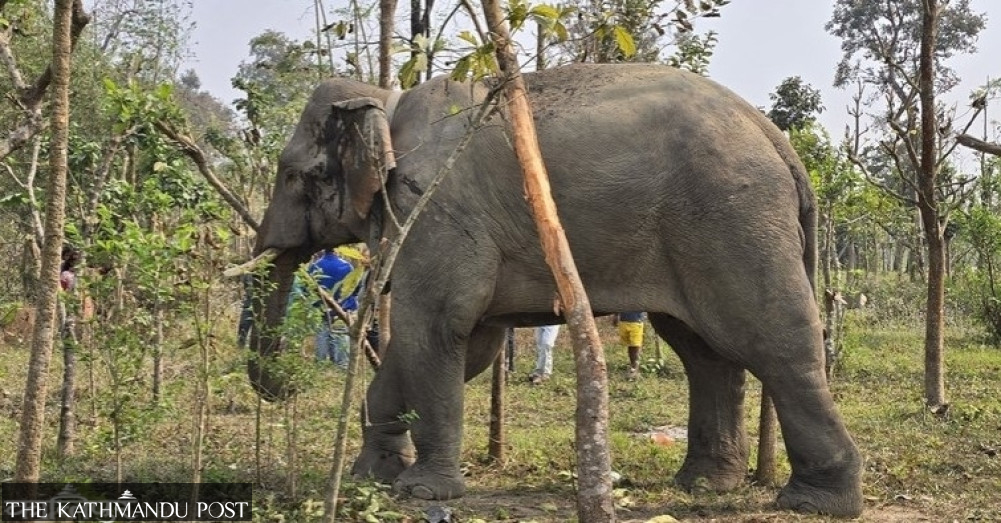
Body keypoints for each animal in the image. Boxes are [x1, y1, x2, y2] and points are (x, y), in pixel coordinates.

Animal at [246, 63, 863, 517]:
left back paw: (816, 503)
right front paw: (372, 476)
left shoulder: (438, 207)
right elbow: (465, 345)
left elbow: (438, 327)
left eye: (293, 175)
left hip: (735, 219)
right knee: (705, 353)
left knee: (773, 344)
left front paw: (421, 492)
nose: (283, 386)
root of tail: (779, 141)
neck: (386, 100)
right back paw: (706, 485)